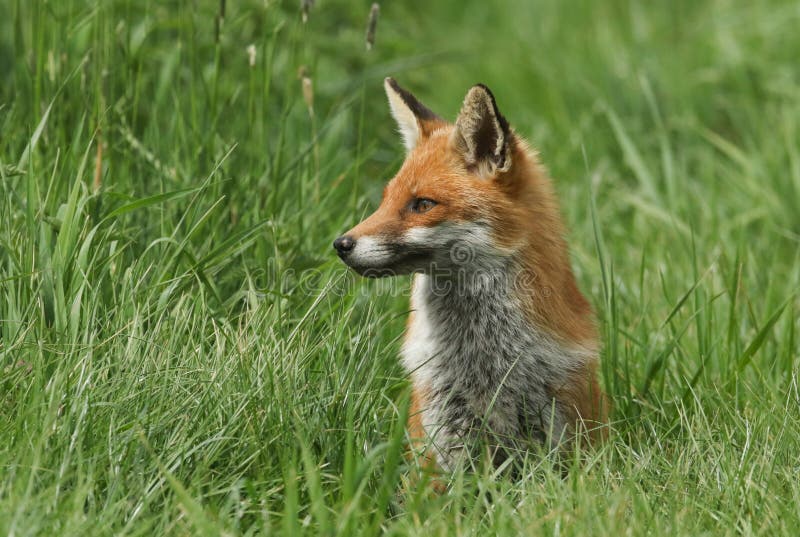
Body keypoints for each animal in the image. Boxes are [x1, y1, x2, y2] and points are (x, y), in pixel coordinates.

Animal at [334, 78, 606, 475]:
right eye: (385, 200)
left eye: (422, 204)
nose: (341, 244)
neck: (482, 360)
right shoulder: (441, 435)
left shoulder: (564, 428)